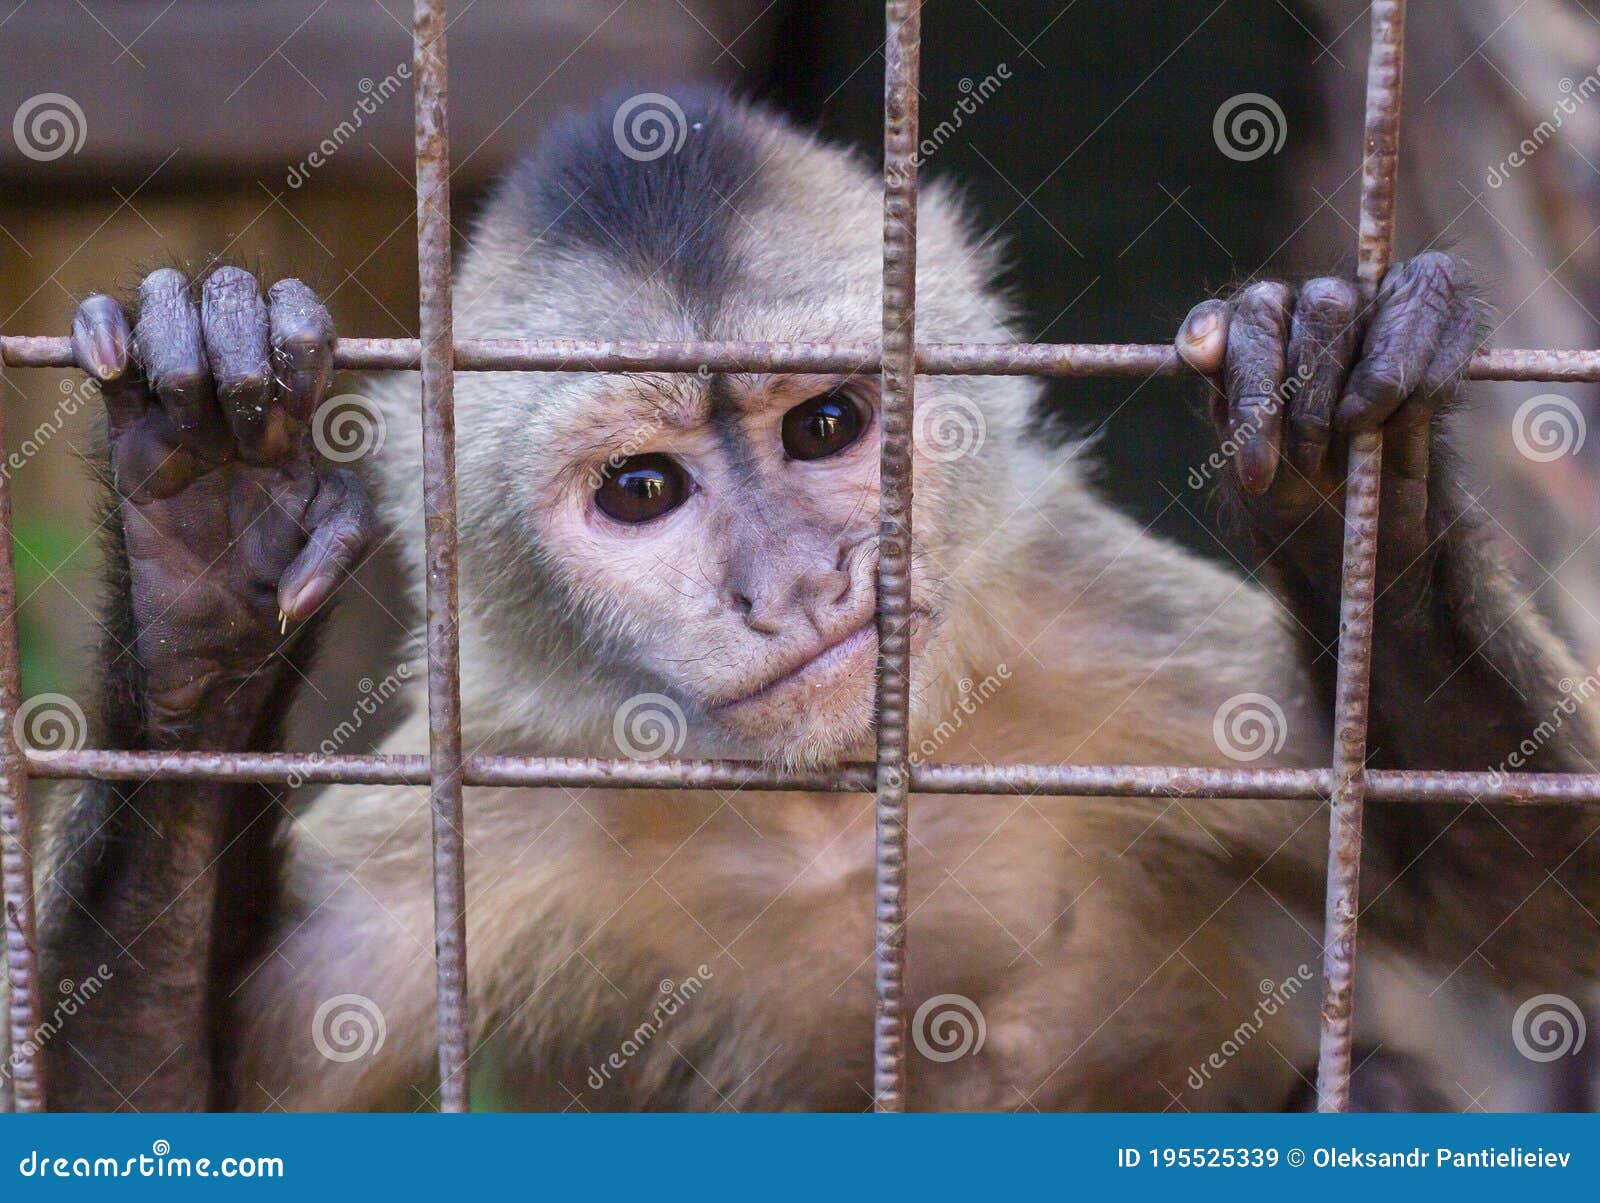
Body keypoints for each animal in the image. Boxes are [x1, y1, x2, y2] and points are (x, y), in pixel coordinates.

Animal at [20, 89, 1600, 1112]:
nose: (795, 585)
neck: (826, 808)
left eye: (828, 425)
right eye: (642, 490)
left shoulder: (1102, 646)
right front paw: (202, 554)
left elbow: (1540, 915)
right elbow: (151, 1104)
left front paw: (1341, 436)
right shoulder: (498, 802)